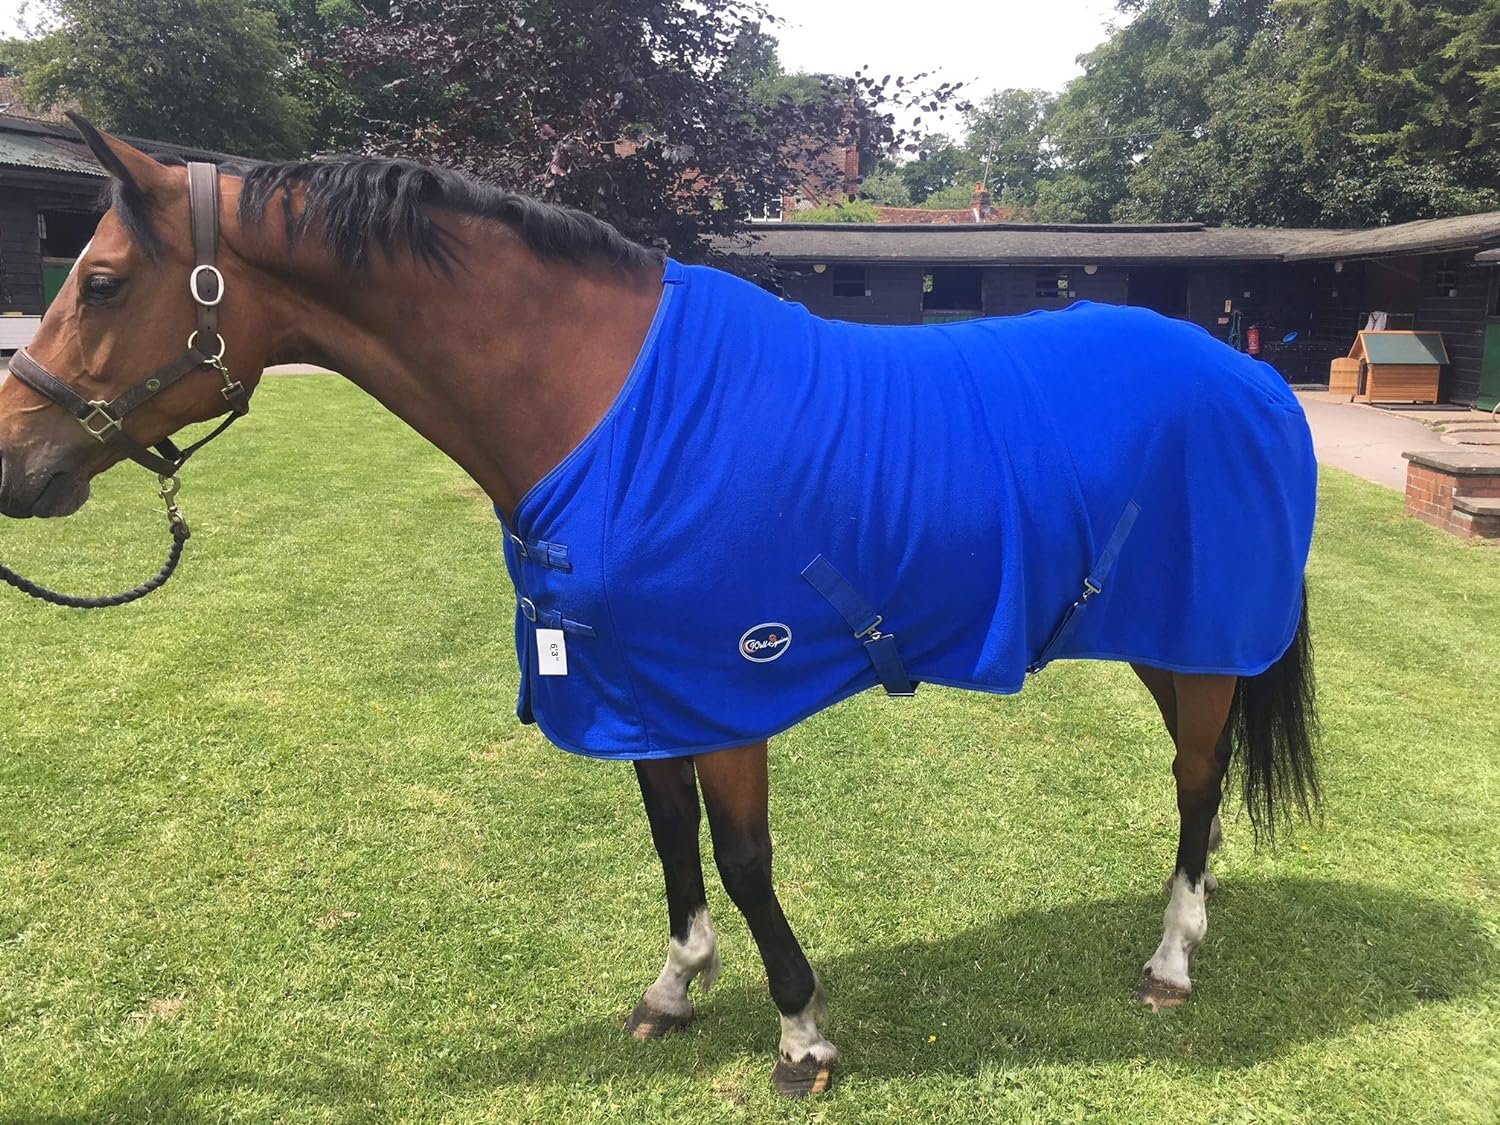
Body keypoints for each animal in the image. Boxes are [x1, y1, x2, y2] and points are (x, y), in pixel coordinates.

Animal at [0, 118, 1320, 1098]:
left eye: (101, 282)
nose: (15, 464)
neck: (605, 408)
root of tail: (1250, 373)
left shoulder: (728, 681)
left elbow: (740, 856)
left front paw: (802, 1035)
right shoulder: (633, 682)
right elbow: (670, 836)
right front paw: (677, 986)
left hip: (1203, 641)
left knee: (1194, 782)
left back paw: (1171, 959)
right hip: (1163, 640)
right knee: (1196, 777)